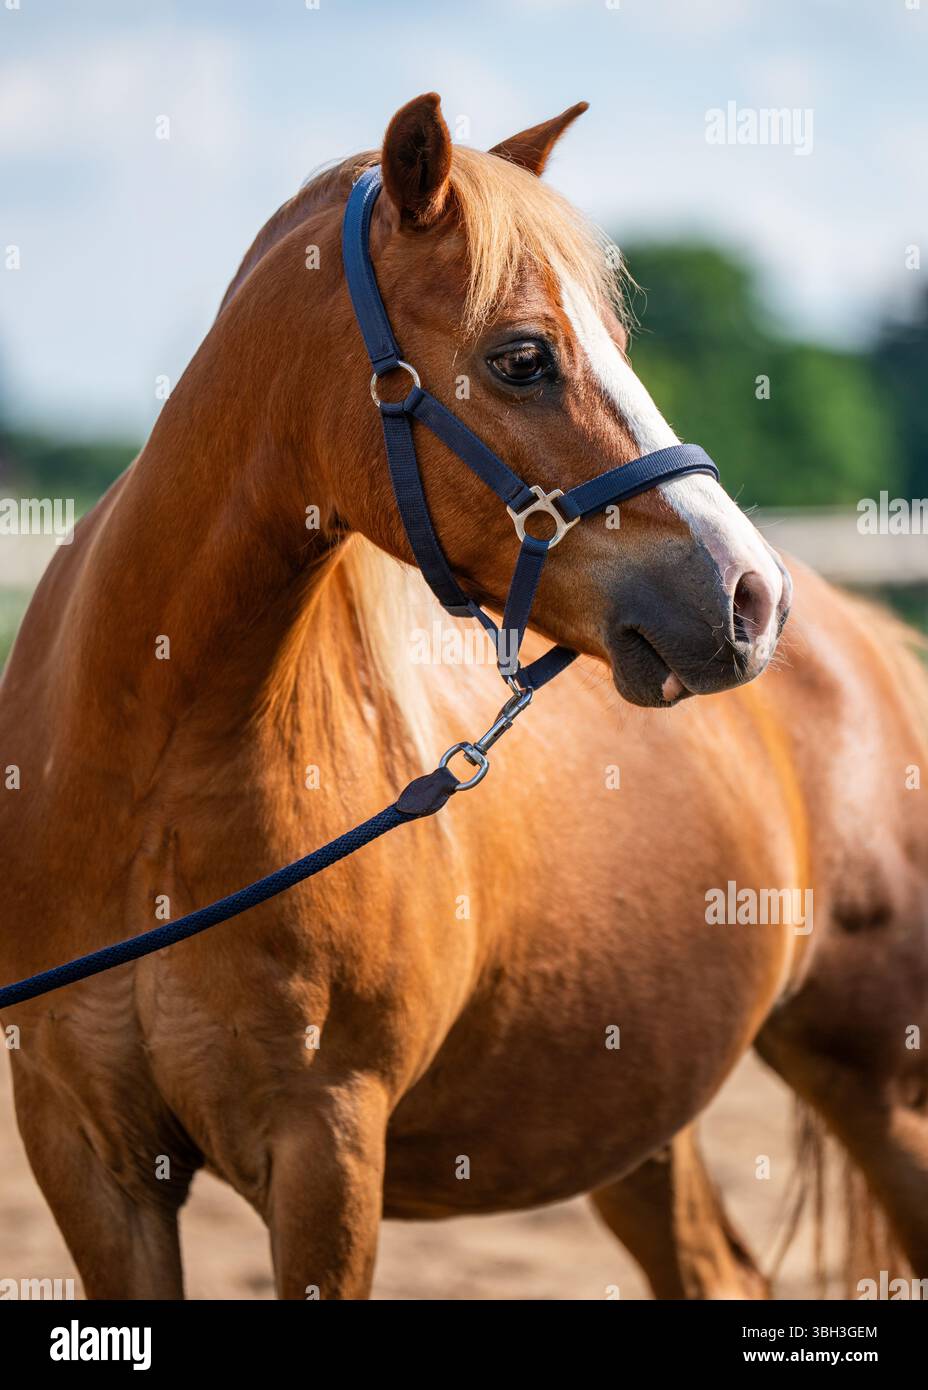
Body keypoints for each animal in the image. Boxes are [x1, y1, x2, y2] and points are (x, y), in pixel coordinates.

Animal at [2, 92, 927, 1300]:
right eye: (523, 356)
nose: (750, 594)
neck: (151, 786)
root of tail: (870, 647)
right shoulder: (89, 1155)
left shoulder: (325, 1145)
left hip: (882, 1088)